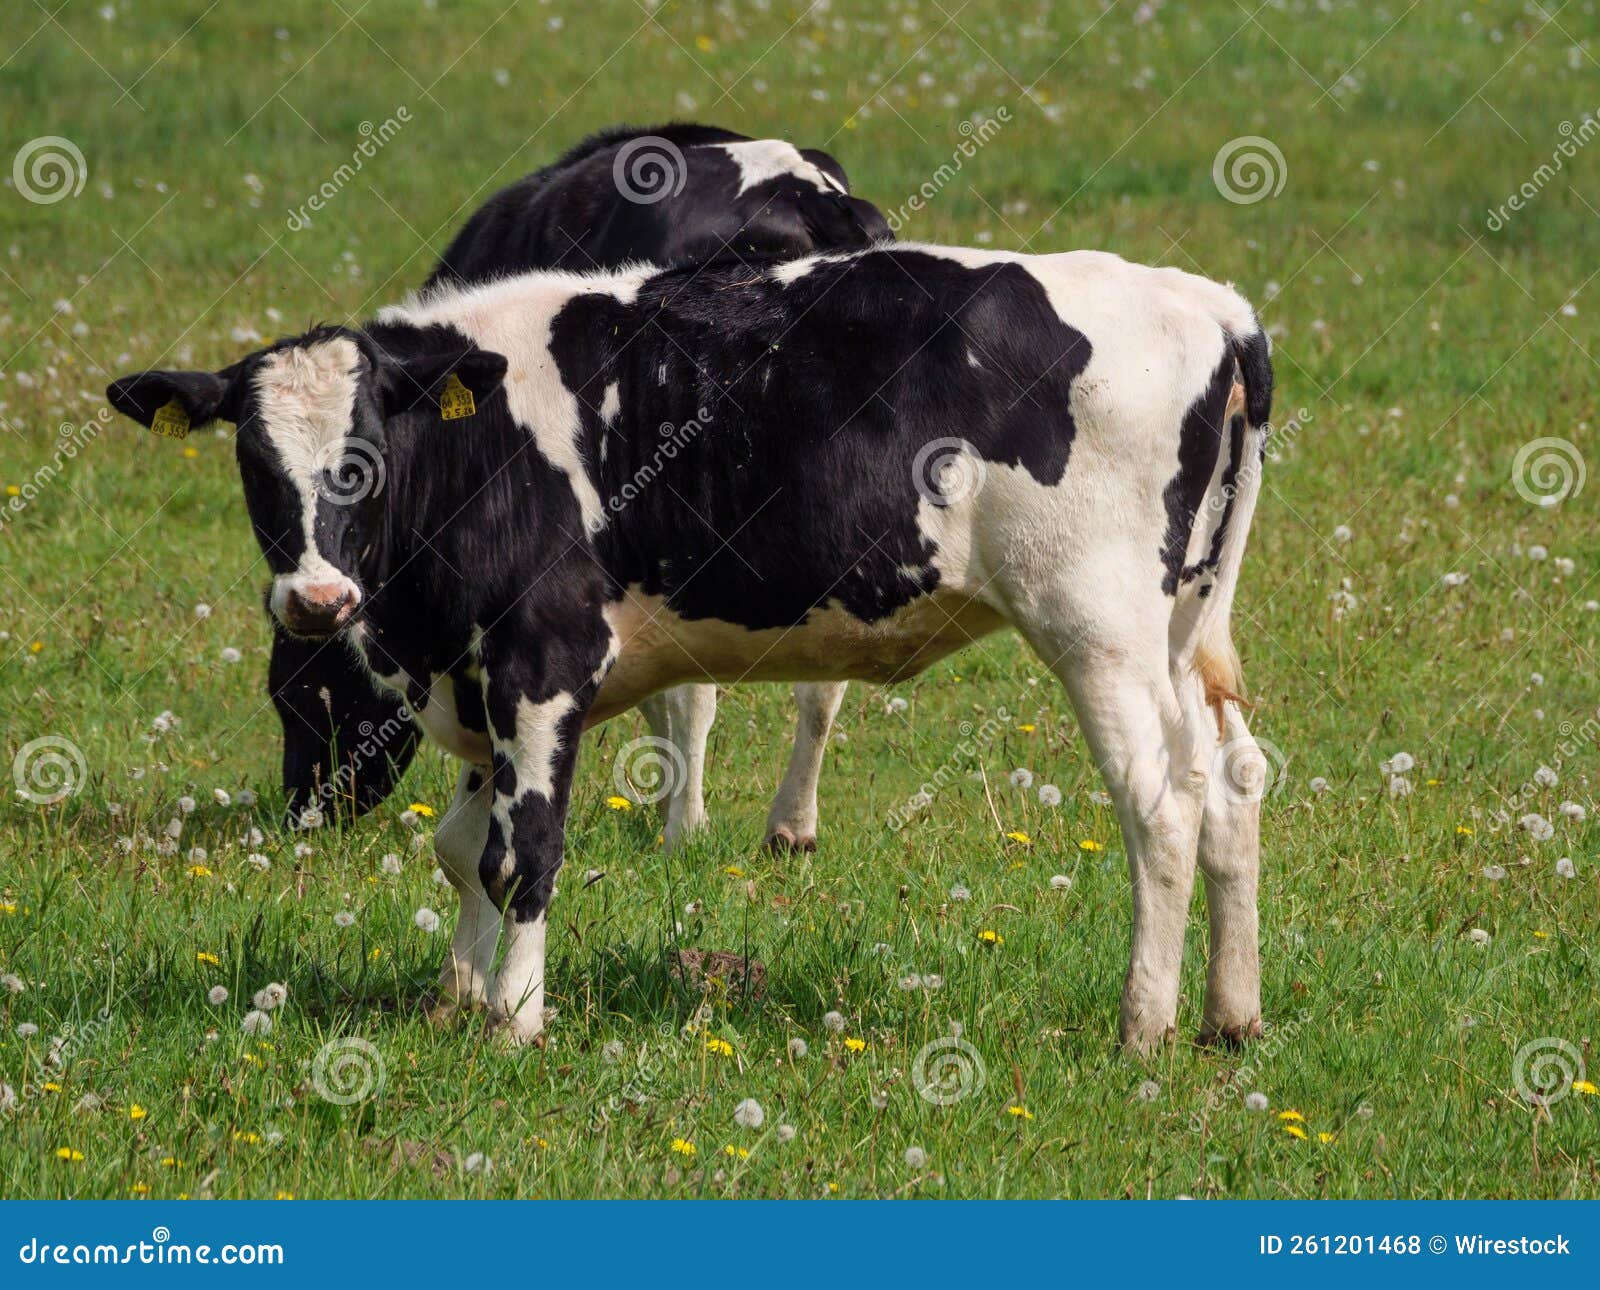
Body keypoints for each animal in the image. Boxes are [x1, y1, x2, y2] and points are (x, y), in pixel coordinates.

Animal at [107, 241, 1274, 1054]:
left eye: (366, 453)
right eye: (255, 463)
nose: (315, 596)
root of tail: (1208, 303)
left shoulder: (546, 658)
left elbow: (522, 852)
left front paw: (515, 1021)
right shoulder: (484, 680)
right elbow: (463, 849)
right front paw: (457, 995)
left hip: (1096, 627)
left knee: (1161, 809)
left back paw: (1143, 1028)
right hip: (1183, 631)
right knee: (1230, 782)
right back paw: (1231, 1015)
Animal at [272, 122, 887, 854]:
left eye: (290, 694)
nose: (301, 812)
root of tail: (806, 195)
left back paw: (686, 830)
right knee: (822, 680)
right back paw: (790, 828)